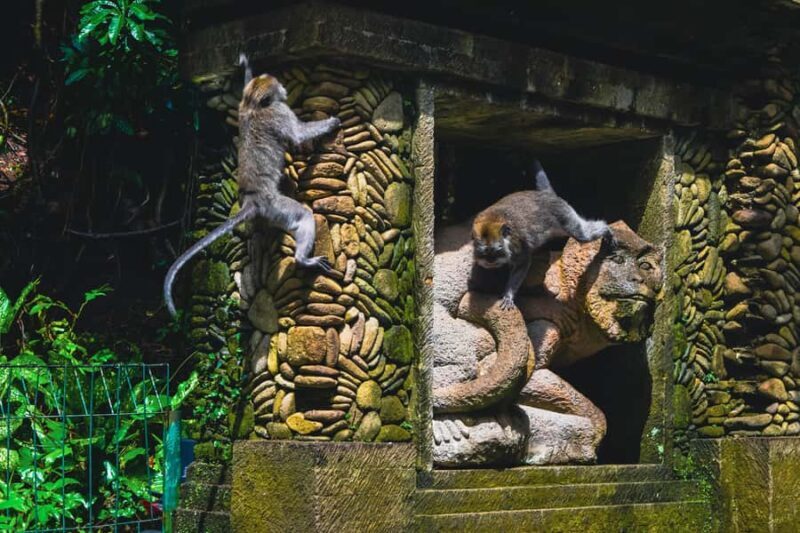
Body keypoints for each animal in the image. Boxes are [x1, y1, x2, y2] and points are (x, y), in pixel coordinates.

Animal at [163, 54, 340, 318]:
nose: (284, 89)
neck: (254, 104)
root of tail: (251, 200)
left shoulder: (243, 104)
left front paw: (245, 67)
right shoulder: (280, 112)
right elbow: (297, 135)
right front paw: (330, 124)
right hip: (275, 208)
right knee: (303, 216)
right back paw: (302, 260)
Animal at [471, 160, 615, 310]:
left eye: (497, 250)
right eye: (484, 253)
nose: (490, 261)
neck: (492, 221)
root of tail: (545, 195)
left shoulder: (518, 246)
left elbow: (523, 264)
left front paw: (509, 294)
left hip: (563, 213)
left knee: (581, 234)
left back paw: (606, 230)